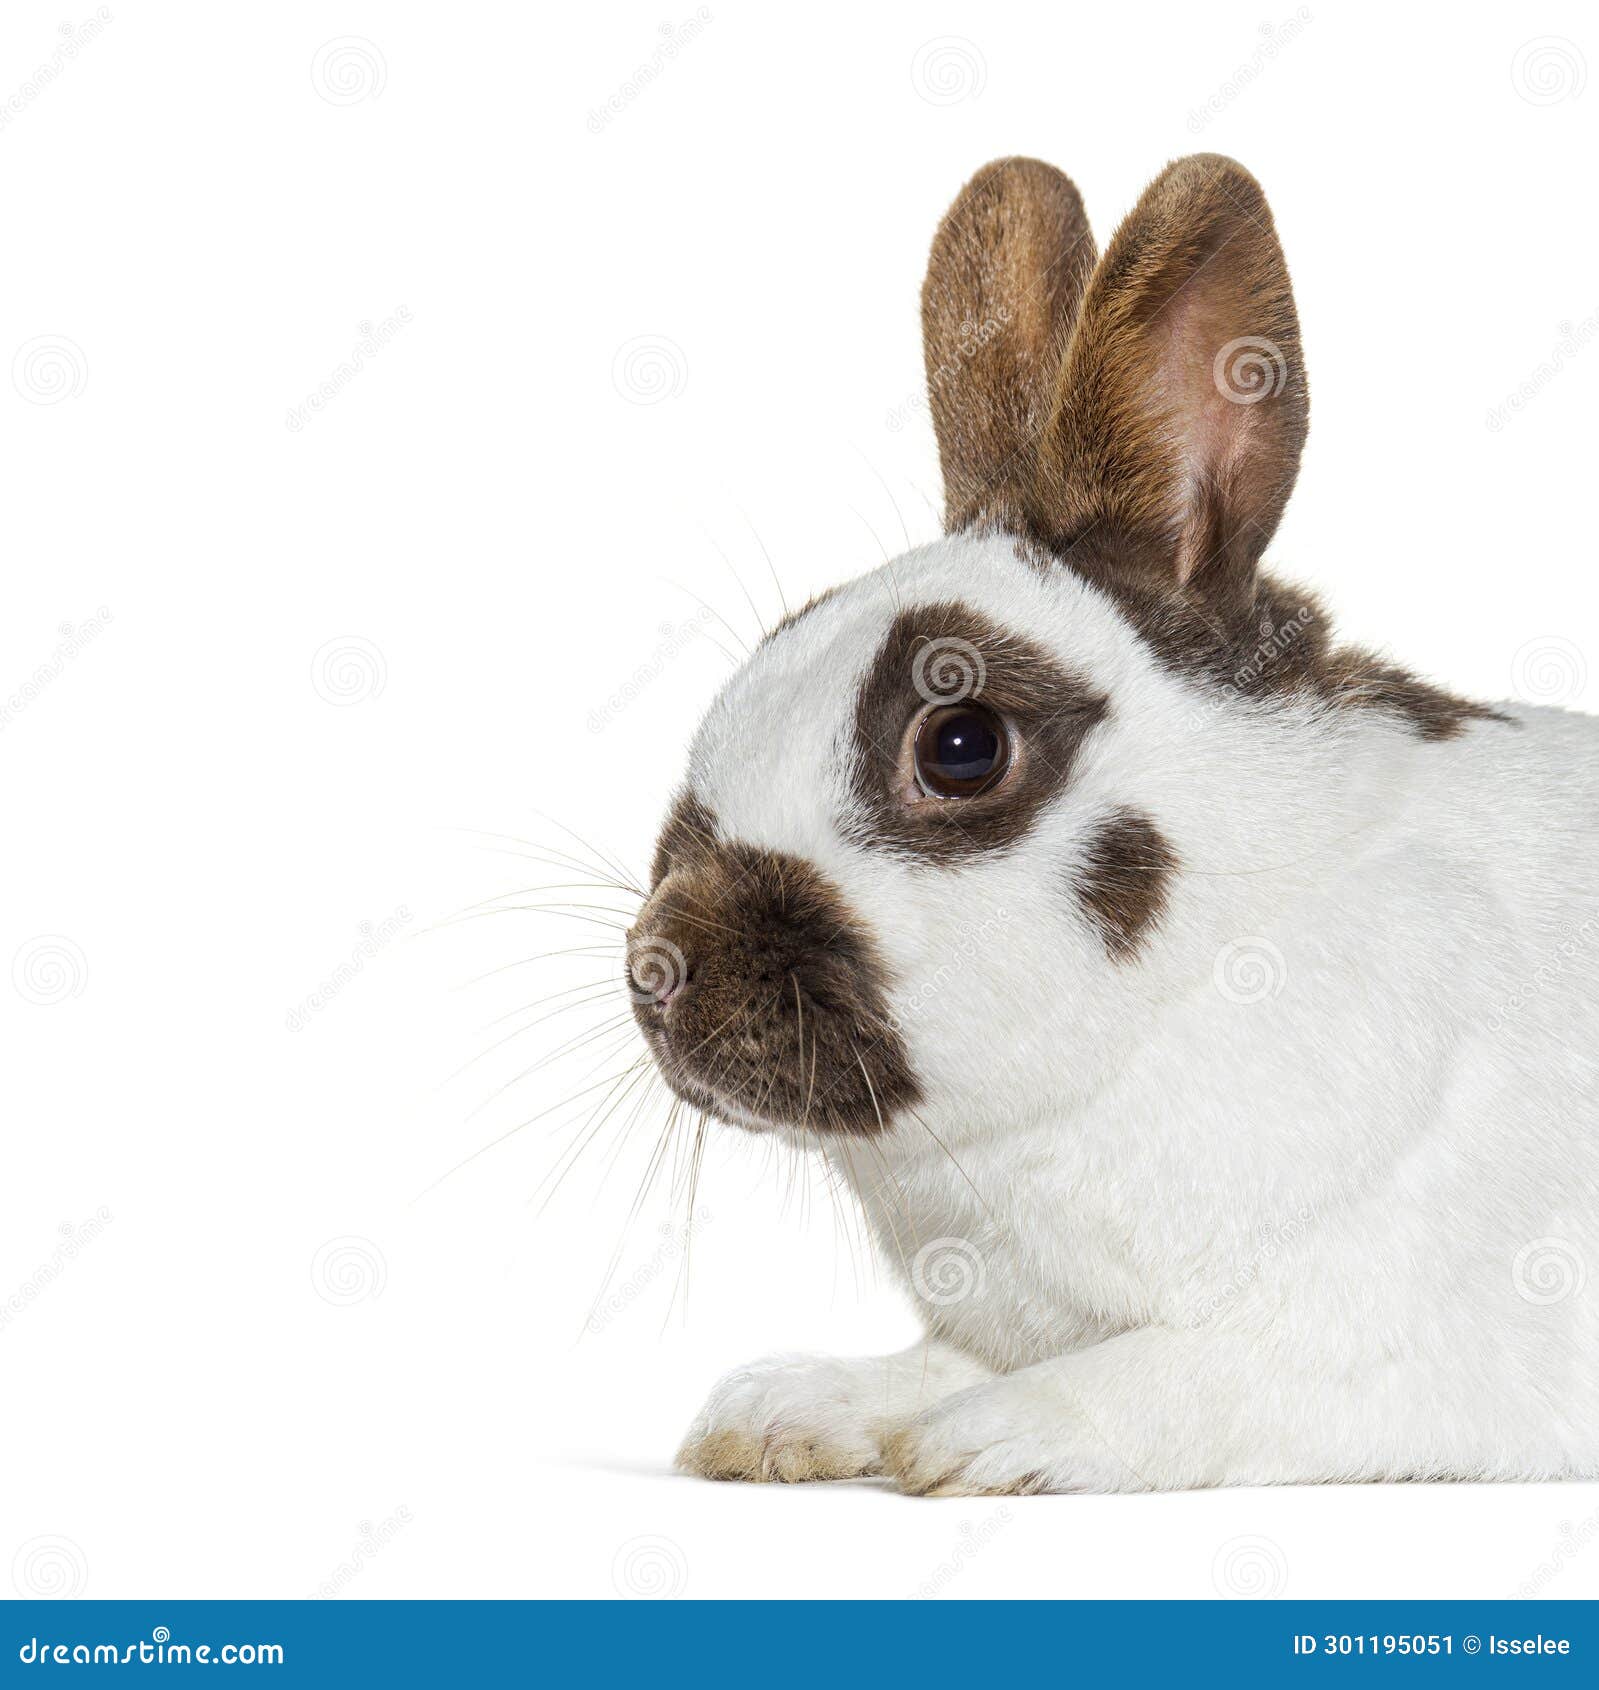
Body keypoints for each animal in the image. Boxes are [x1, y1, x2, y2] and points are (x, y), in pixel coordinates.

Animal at [624, 154, 1599, 1495]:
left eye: (962, 743)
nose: (659, 969)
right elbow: (942, 1359)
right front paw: (783, 1407)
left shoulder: (1383, 1352)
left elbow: (1193, 1381)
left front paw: (994, 1437)